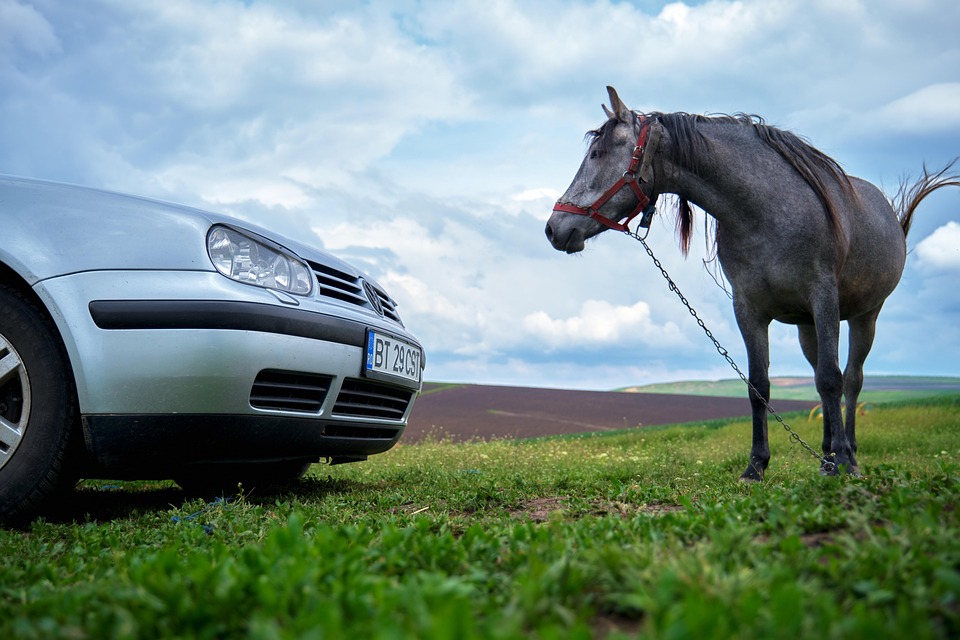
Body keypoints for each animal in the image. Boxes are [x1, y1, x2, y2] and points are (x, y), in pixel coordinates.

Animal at [545, 86, 960, 481]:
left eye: (598, 153)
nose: (554, 228)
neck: (764, 212)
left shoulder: (824, 298)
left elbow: (833, 380)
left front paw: (844, 462)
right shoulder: (749, 309)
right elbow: (760, 385)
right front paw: (756, 466)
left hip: (864, 317)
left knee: (851, 380)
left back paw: (848, 457)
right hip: (807, 328)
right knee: (819, 376)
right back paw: (826, 456)